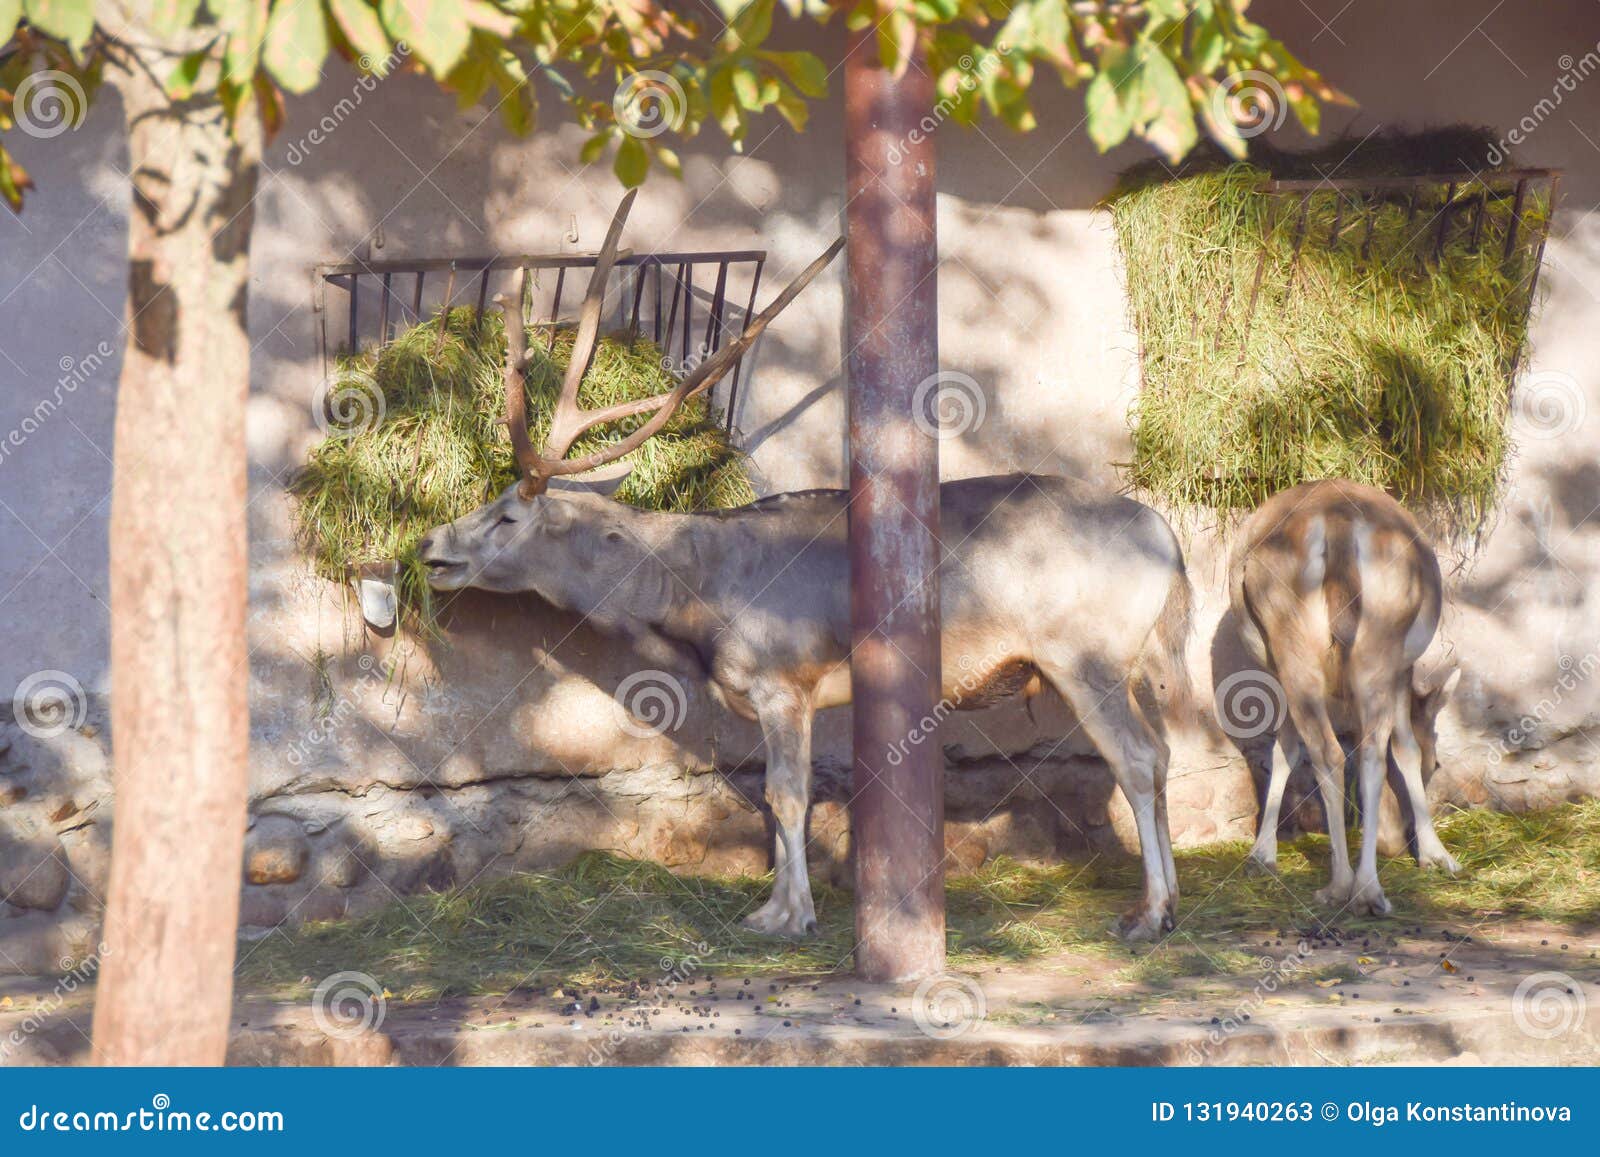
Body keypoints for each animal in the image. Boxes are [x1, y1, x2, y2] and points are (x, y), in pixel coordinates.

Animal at [416, 192, 1194, 940]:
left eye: (507, 515)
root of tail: (1167, 538)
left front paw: (785, 915)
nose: (431, 548)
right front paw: (787, 904)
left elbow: (784, 794)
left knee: (1137, 759)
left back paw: (1148, 913)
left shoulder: (784, 676)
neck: (702, 596)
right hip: (1127, 662)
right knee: (1163, 751)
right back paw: (1172, 900)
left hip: (1082, 652)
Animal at [1227, 479, 1462, 917]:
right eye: (1436, 763)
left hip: (1297, 650)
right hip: (1377, 645)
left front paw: (1261, 855)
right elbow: (1403, 748)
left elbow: (1284, 751)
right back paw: (1362, 888)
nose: (1398, 840)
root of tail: (1337, 520)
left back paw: (1348, 886)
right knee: (1365, 751)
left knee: (1334, 751)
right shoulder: (1403, 671)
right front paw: (1438, 855)